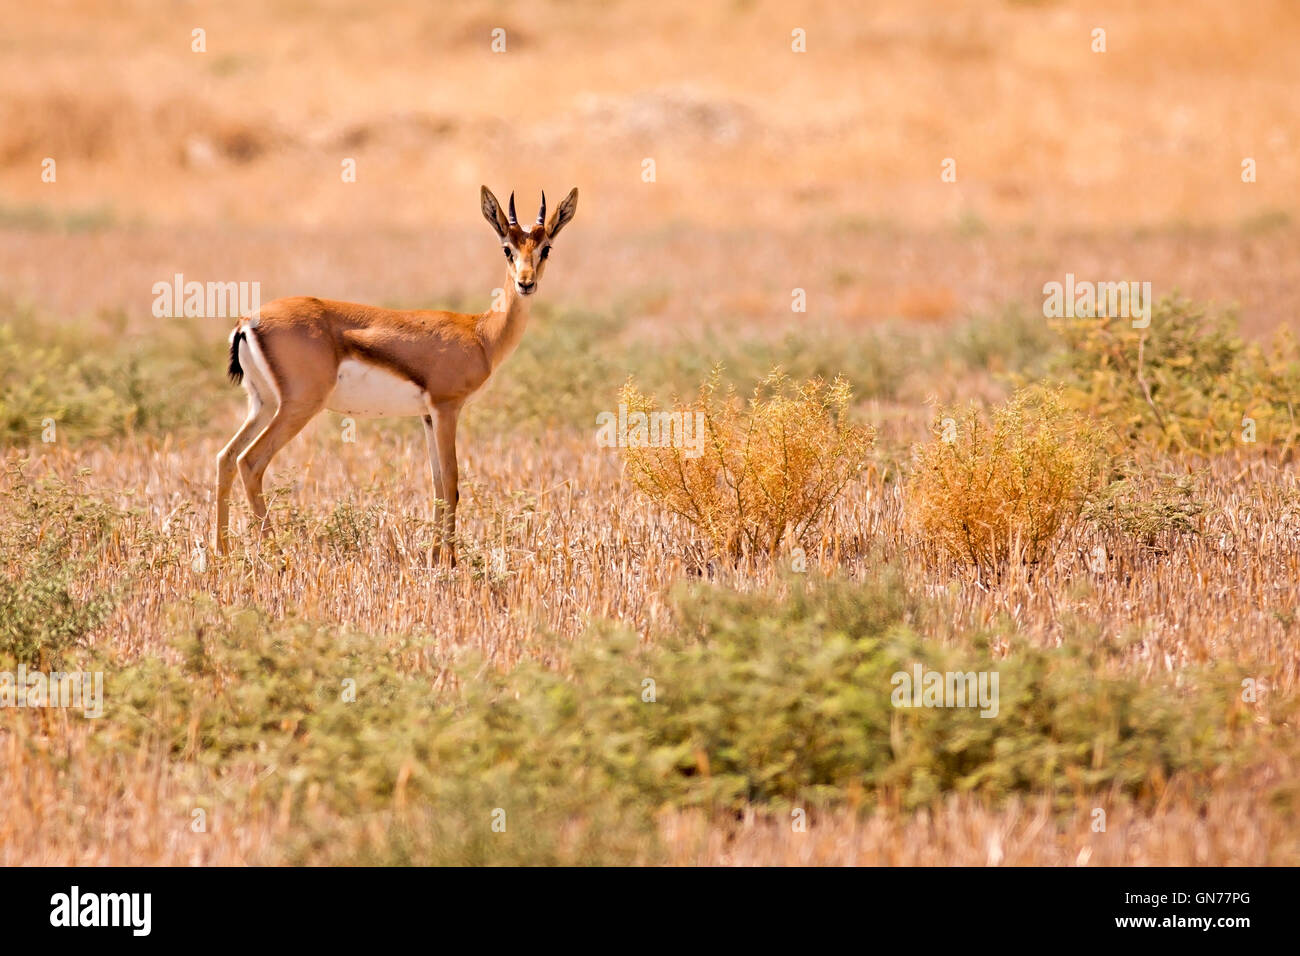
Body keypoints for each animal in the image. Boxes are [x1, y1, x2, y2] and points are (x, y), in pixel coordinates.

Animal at [215, 185, 578, 565]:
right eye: (507, 248)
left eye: (545, 248)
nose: (526, 283)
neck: (480, 333)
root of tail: (247, 322)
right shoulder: (447, 408)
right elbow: (452, 482)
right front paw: (450, 561)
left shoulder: (427, 415)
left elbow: (437, 483)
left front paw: (434, 556)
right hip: (297, 407)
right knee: (250, 461)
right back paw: (278, 556)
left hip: (264, 405)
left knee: (225, 458)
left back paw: (222, 552)